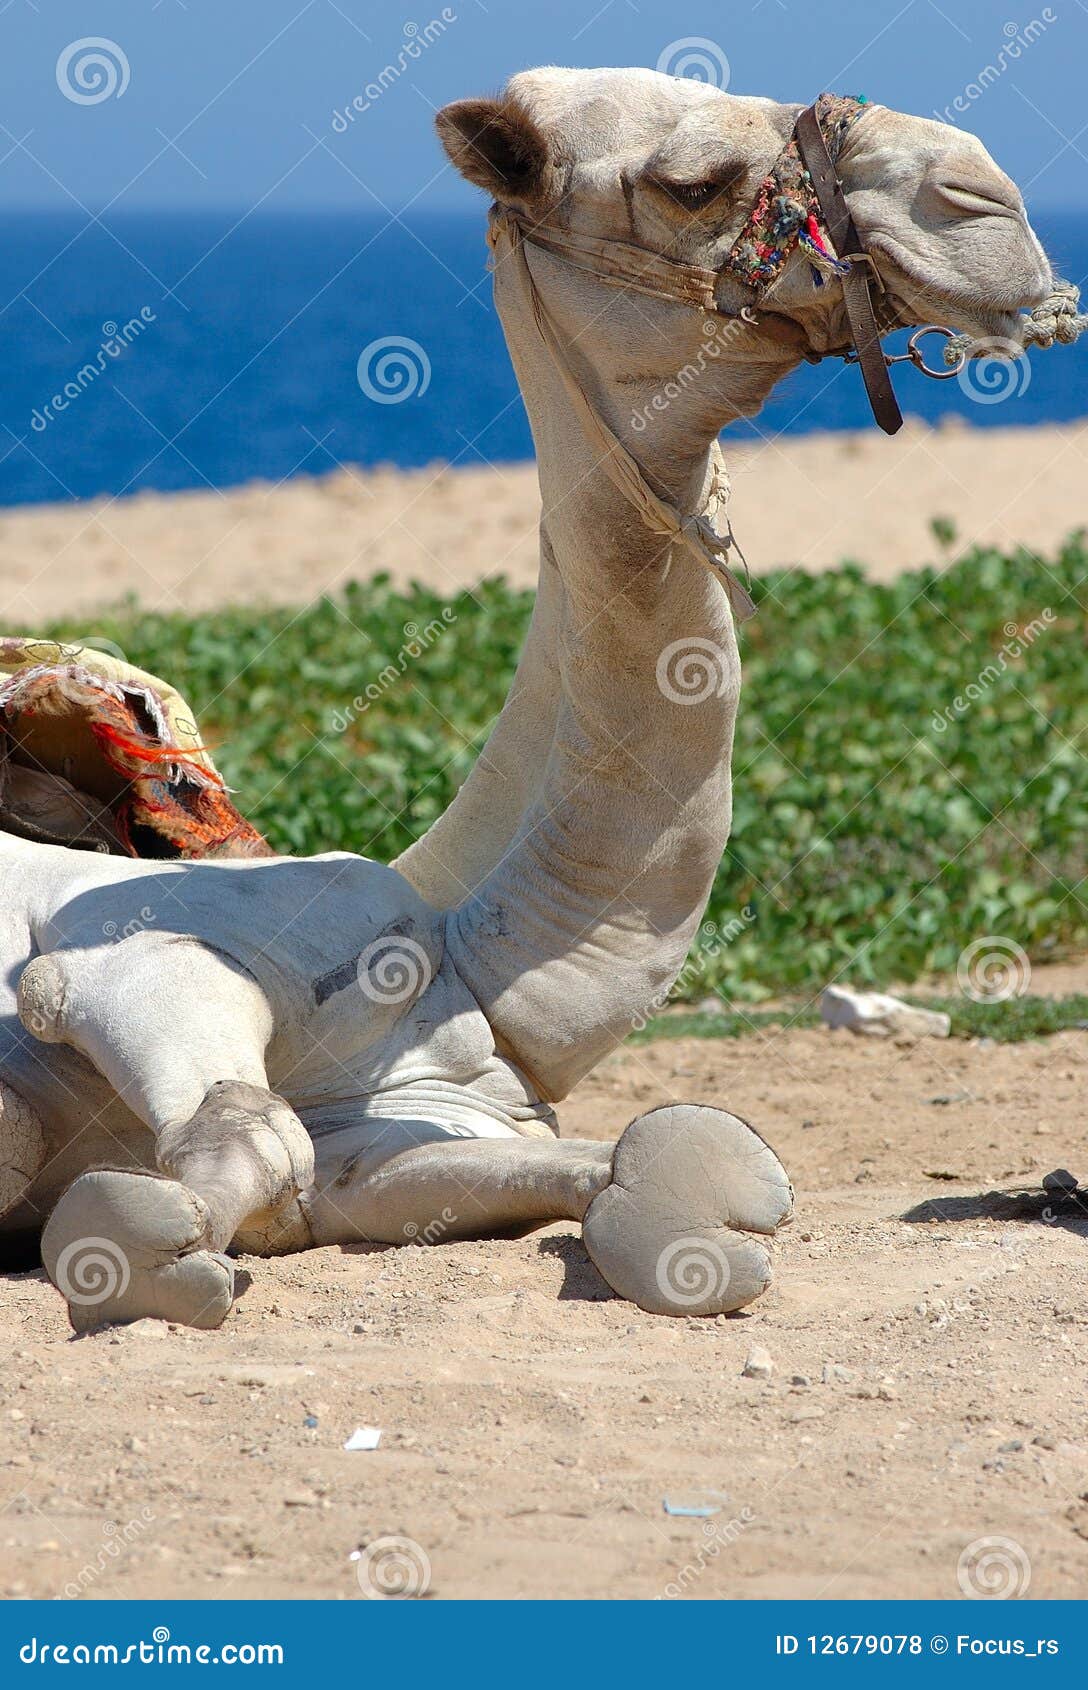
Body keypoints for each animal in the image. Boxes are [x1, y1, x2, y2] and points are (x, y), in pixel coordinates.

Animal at [0, 67, 1058, 1332]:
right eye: (692, 182)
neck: (459, 943)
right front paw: (140, 1251)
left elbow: (636, 1156)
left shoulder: (401, 1139)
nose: (983, 198)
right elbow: (219, 1124)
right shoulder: (139, 960)